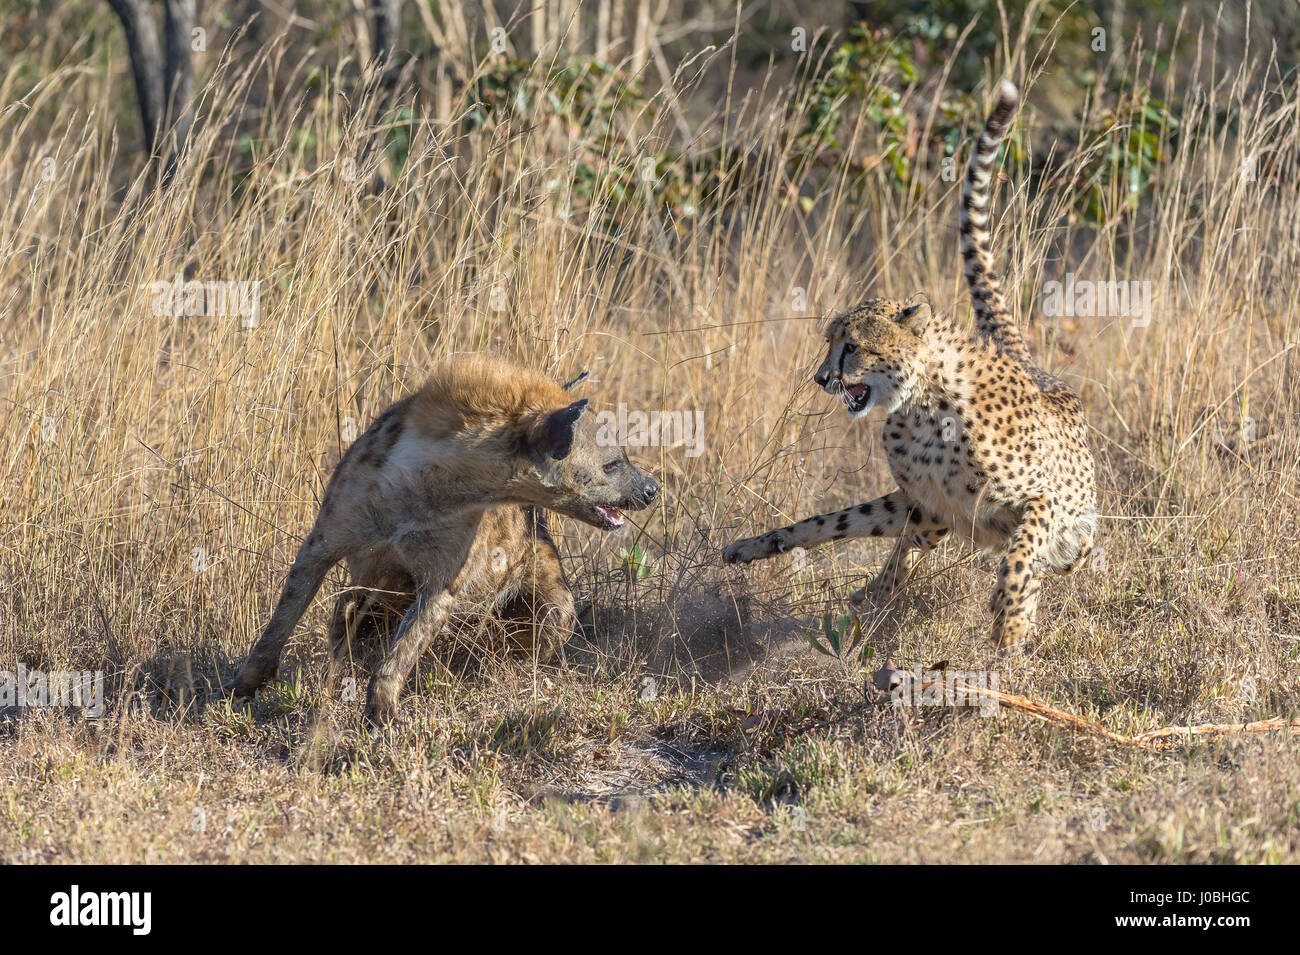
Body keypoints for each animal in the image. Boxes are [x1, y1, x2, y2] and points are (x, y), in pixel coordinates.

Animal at [722, 80, 1098, 647]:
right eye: (830, 340)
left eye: (852, 346)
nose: (821, 377)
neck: (925, 407)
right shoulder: (923, 504)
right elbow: (826, 522)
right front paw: (754, 546)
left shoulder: (1040, 500)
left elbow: (1022, 551)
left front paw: (1009, 620)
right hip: (930, 519)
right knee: (887, 545)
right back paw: (867, 594)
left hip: (1073, 528)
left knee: (1058, 554)